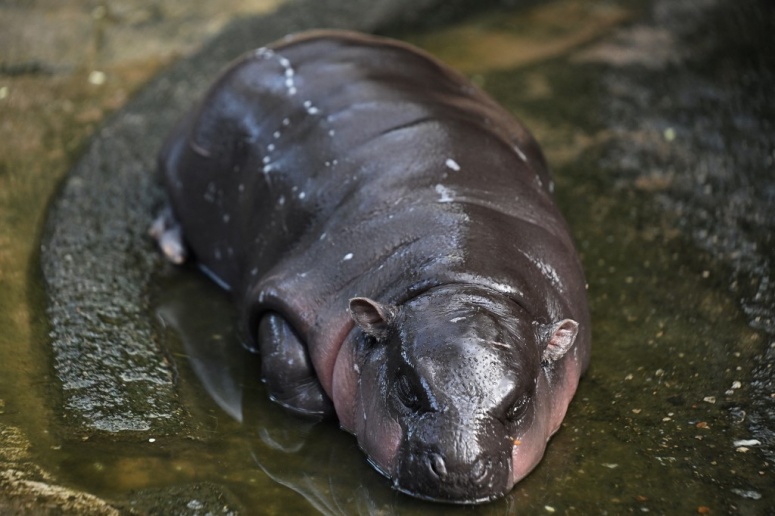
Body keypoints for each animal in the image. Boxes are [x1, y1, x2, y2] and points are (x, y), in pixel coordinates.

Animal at [151, 30, 590, 503]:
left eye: (519, 406)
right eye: (407, 390)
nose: (458, 468)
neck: (461, 278)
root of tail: (286, 42)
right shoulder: (299, 288)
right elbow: (285, 358)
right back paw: (173, 246)